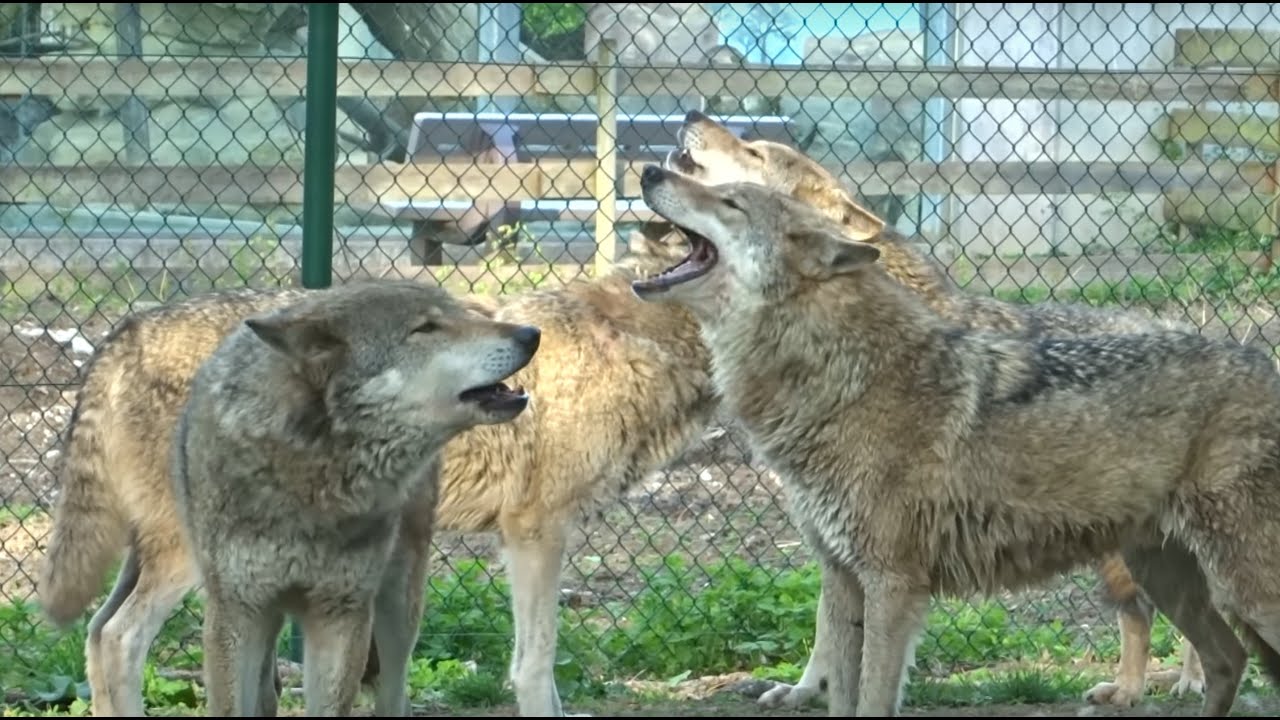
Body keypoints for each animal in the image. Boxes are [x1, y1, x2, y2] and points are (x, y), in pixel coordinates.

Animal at [36, 228, 715, 717]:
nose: (529, 338)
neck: (632, 339)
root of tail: (124, 330)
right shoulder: (535, 531)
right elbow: (536, 668)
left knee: (95, 632)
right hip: (190, 561)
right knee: (119, 637)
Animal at [630, 164, 1280, 717]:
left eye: (731, 202)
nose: (651, 169)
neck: (844, 377)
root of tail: (1264, 360)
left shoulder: (893, 585)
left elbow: (872, 699)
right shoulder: (842, 579)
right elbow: (840, 692)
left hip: (1237, 589)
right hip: (1167, 575)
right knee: (1228, 660)